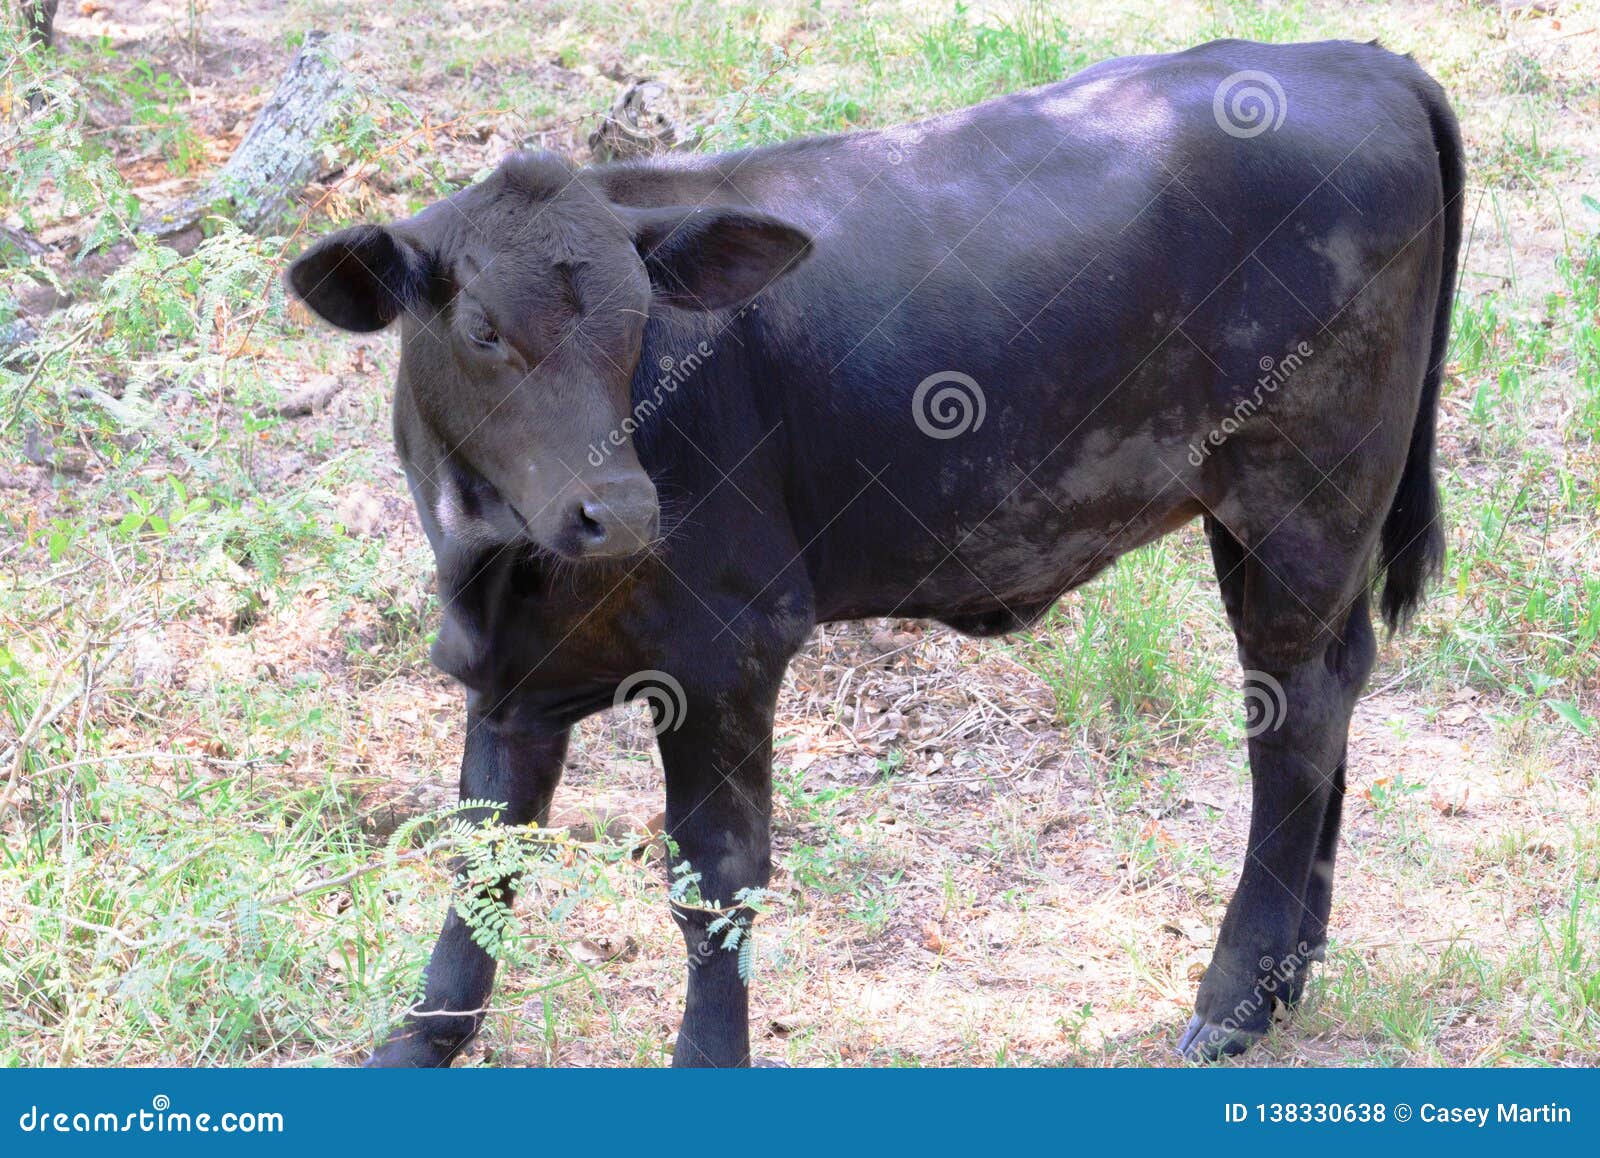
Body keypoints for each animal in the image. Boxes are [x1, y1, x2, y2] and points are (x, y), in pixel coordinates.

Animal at [288, 37, 1463, 1066]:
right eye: (482, 329)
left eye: (636, 322)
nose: (617, 509)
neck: (498, 567)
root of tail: (1355, 59)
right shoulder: (507, 679)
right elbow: (480, 865)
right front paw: (415, 1046)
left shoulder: (727, 649)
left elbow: (714, 886)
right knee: (1328, 690)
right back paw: (1287, 974)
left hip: (1303, 493)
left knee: (1295, 715)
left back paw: (1233, 999)